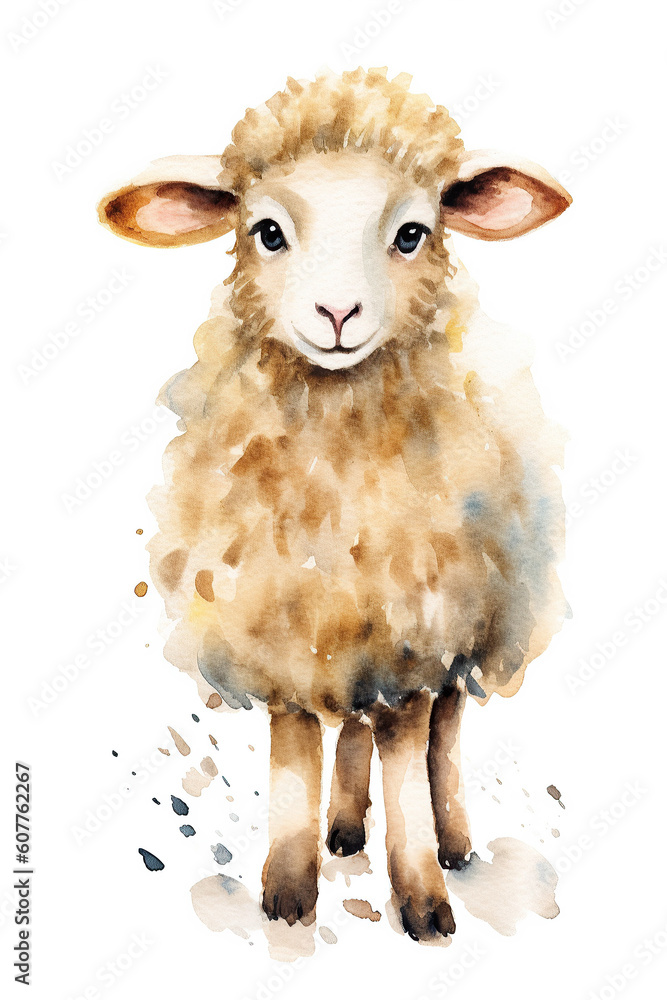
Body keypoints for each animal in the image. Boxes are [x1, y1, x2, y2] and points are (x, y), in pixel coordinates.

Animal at [98, 67, 570, 943]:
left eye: (412, 233)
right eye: (267, 232)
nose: (338, 315)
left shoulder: (417, 636)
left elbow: (408, 764)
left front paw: (423, 902)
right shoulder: (285, 624)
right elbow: (293, 761)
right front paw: (287, 894)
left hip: (474, 615)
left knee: (440, 738)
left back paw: (452, 845)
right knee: (351, 726)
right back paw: (344, 830)